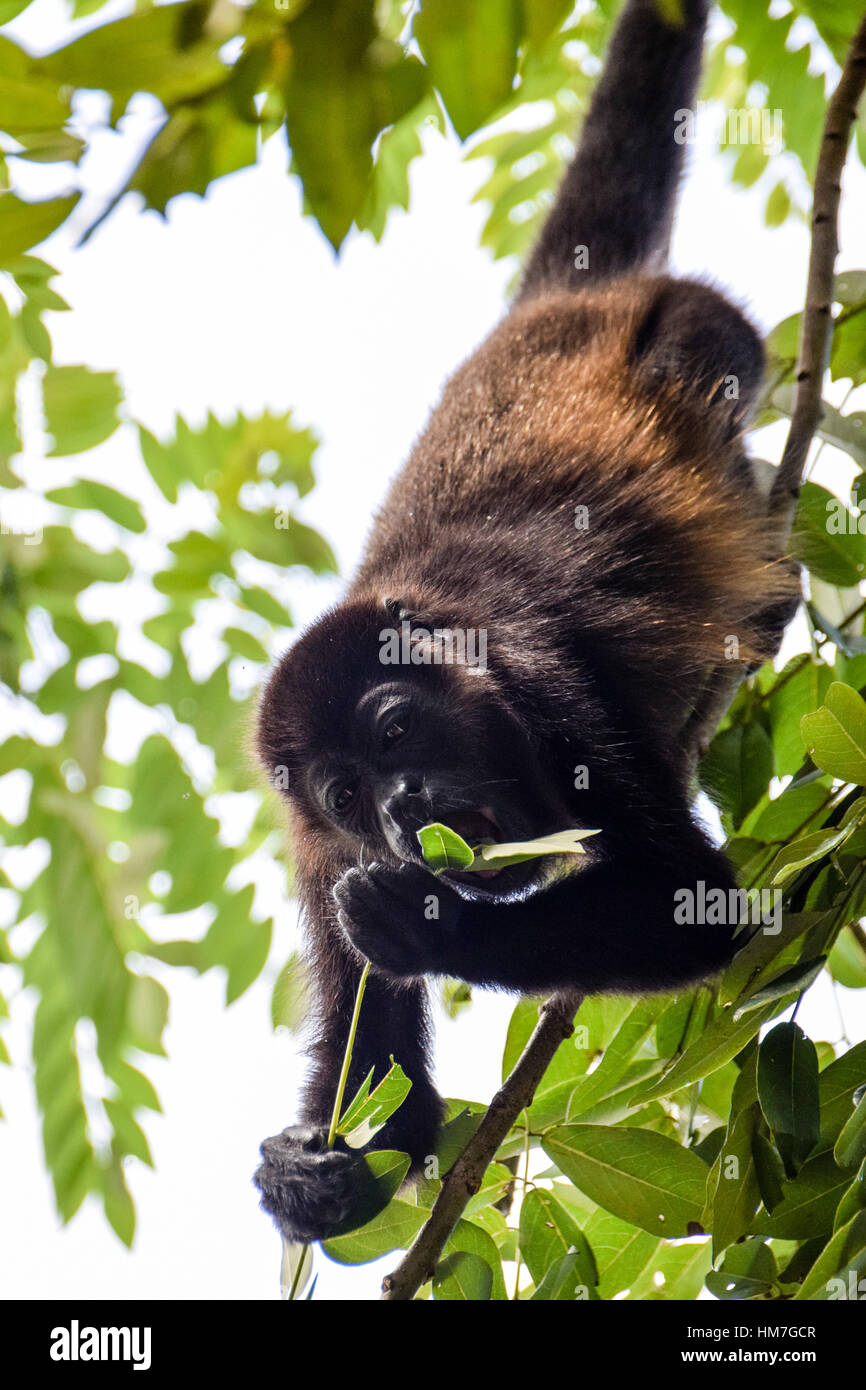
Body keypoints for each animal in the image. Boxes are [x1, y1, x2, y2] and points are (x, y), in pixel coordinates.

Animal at [253, 0, 801, 1245]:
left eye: (395, 731)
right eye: (346, 797)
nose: (402, 809)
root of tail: (560, 302)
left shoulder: (547, 682)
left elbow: (693, 900)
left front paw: (432, 924)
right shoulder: (312, 849)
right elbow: (388, 1094)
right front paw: (313, 1175)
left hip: (697, 323)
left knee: (702, 373)